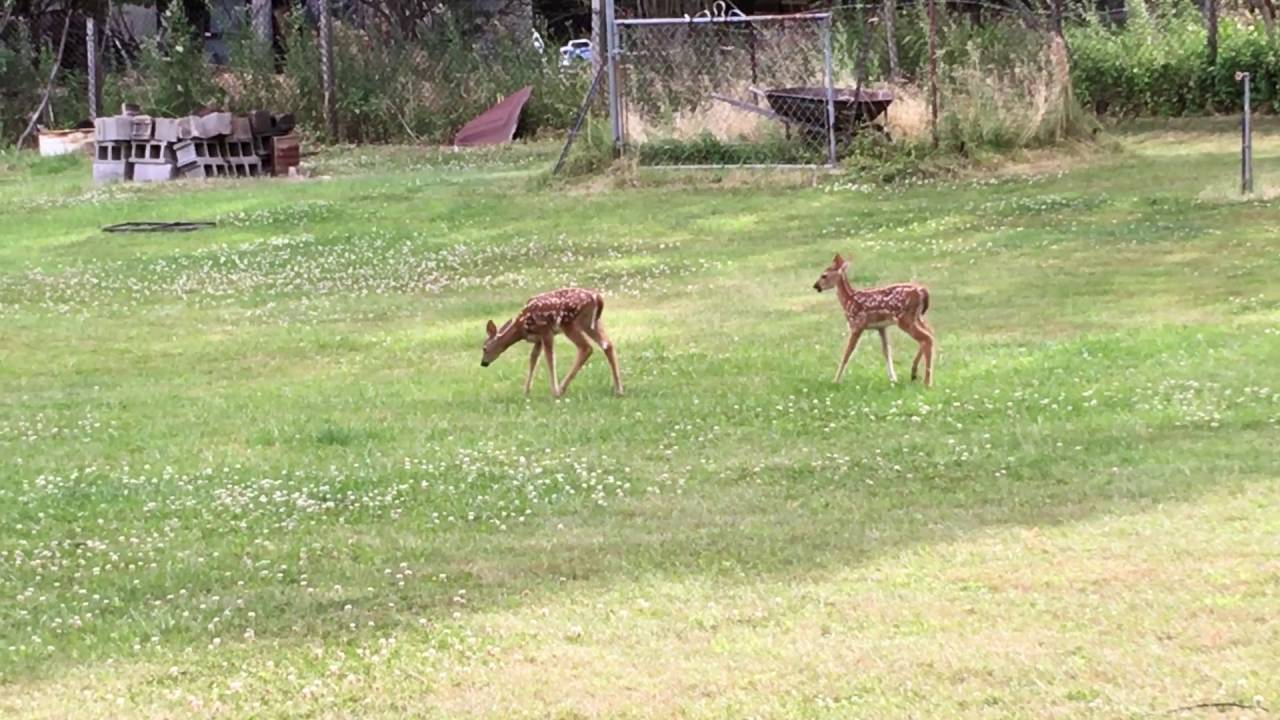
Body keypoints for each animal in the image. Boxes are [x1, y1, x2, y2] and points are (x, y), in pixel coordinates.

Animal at [481, 287, 623, 398]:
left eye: (484, 348)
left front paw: (553, 391)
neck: (521, 328)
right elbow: (533, 358)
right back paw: (619, 390)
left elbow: (549, 358)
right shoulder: (538, 339)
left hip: (569, 323)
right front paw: (526, 391)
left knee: (586, 347)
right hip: (591, 323)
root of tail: (598, 298)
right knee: (608, 345)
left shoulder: (546, 331)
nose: (483, 363)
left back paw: (561, 389)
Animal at [812, 254, 935, 387]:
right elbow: (886, 351)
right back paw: (914, 373)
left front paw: (836, 380)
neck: (848, 300)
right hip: (918, 317)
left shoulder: (857, 325)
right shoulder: (881, 327)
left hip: (905, 318)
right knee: (931, 333)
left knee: (927, 339)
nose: (816, 286)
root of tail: (924, 292)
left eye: (824, 275)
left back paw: (927, 382)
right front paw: (893, 379)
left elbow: (847, 352)